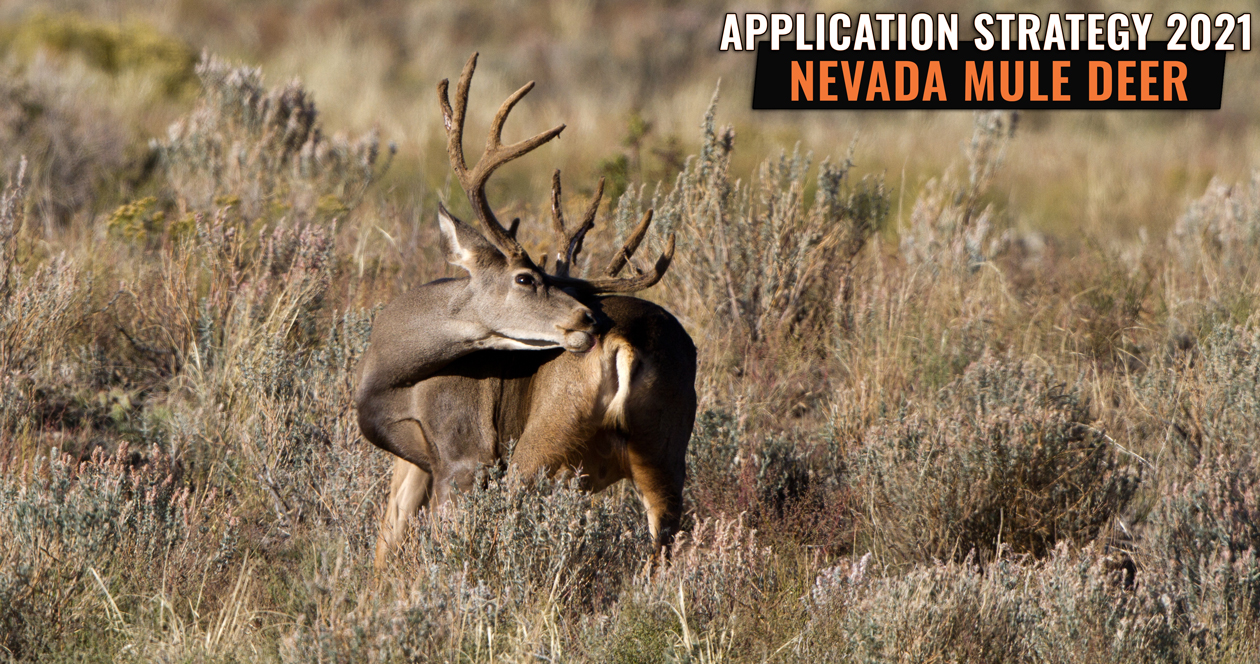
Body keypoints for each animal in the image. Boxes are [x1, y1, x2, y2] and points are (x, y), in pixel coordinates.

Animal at [354, 53, 696, 568]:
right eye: (525, 278)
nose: (589, 319)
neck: (389, 376)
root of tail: (625, 344)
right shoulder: (412, 461)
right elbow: (385, 544)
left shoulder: (465, 452)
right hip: (665, 448)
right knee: (666, 542)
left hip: (539, 447)